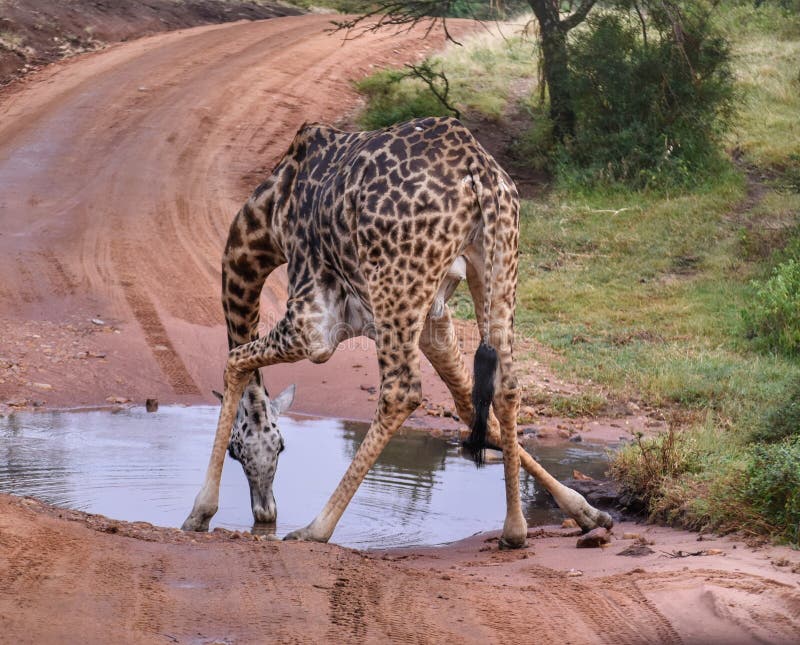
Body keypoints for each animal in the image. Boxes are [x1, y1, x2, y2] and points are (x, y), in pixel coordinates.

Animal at [182, 116, 613, 545]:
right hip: (496, 265)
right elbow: (468, 404)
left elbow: (235, 360)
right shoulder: (432, 322)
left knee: (400, 391)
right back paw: (515, 529)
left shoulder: (312, 326)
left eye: (278, 447)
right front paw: (586, 511)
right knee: (506, 387)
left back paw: (316, 528)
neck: (265, 224)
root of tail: (479, 170)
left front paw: (199, 513)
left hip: (398, 290)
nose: (265, 512)